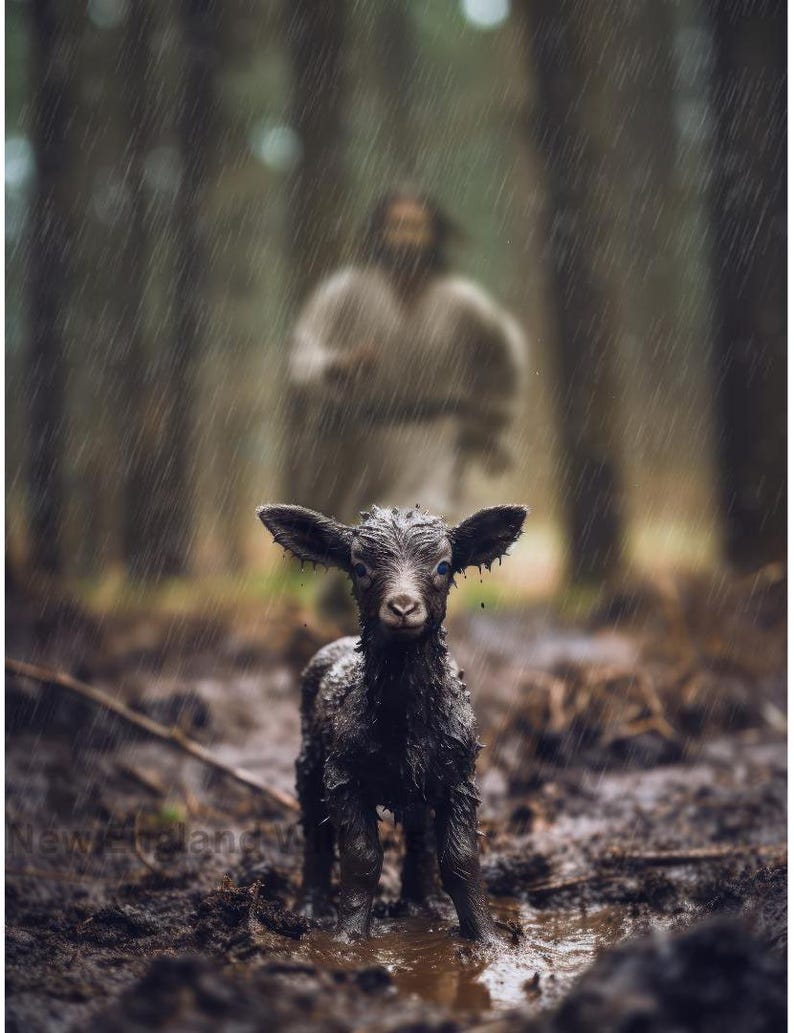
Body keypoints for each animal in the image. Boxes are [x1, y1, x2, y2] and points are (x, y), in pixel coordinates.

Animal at [257, 502, 526, 942]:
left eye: (443, 566)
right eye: (360, 567)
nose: (402, 607)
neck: (405, 717)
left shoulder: (459, 776)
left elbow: (460, 858)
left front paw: (488, 940)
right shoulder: (342, 775)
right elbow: (361, 858)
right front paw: (348, 939)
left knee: (420, 837)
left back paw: (422, 906)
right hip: (309, 763)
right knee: (315, 832)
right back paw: (311, 907)